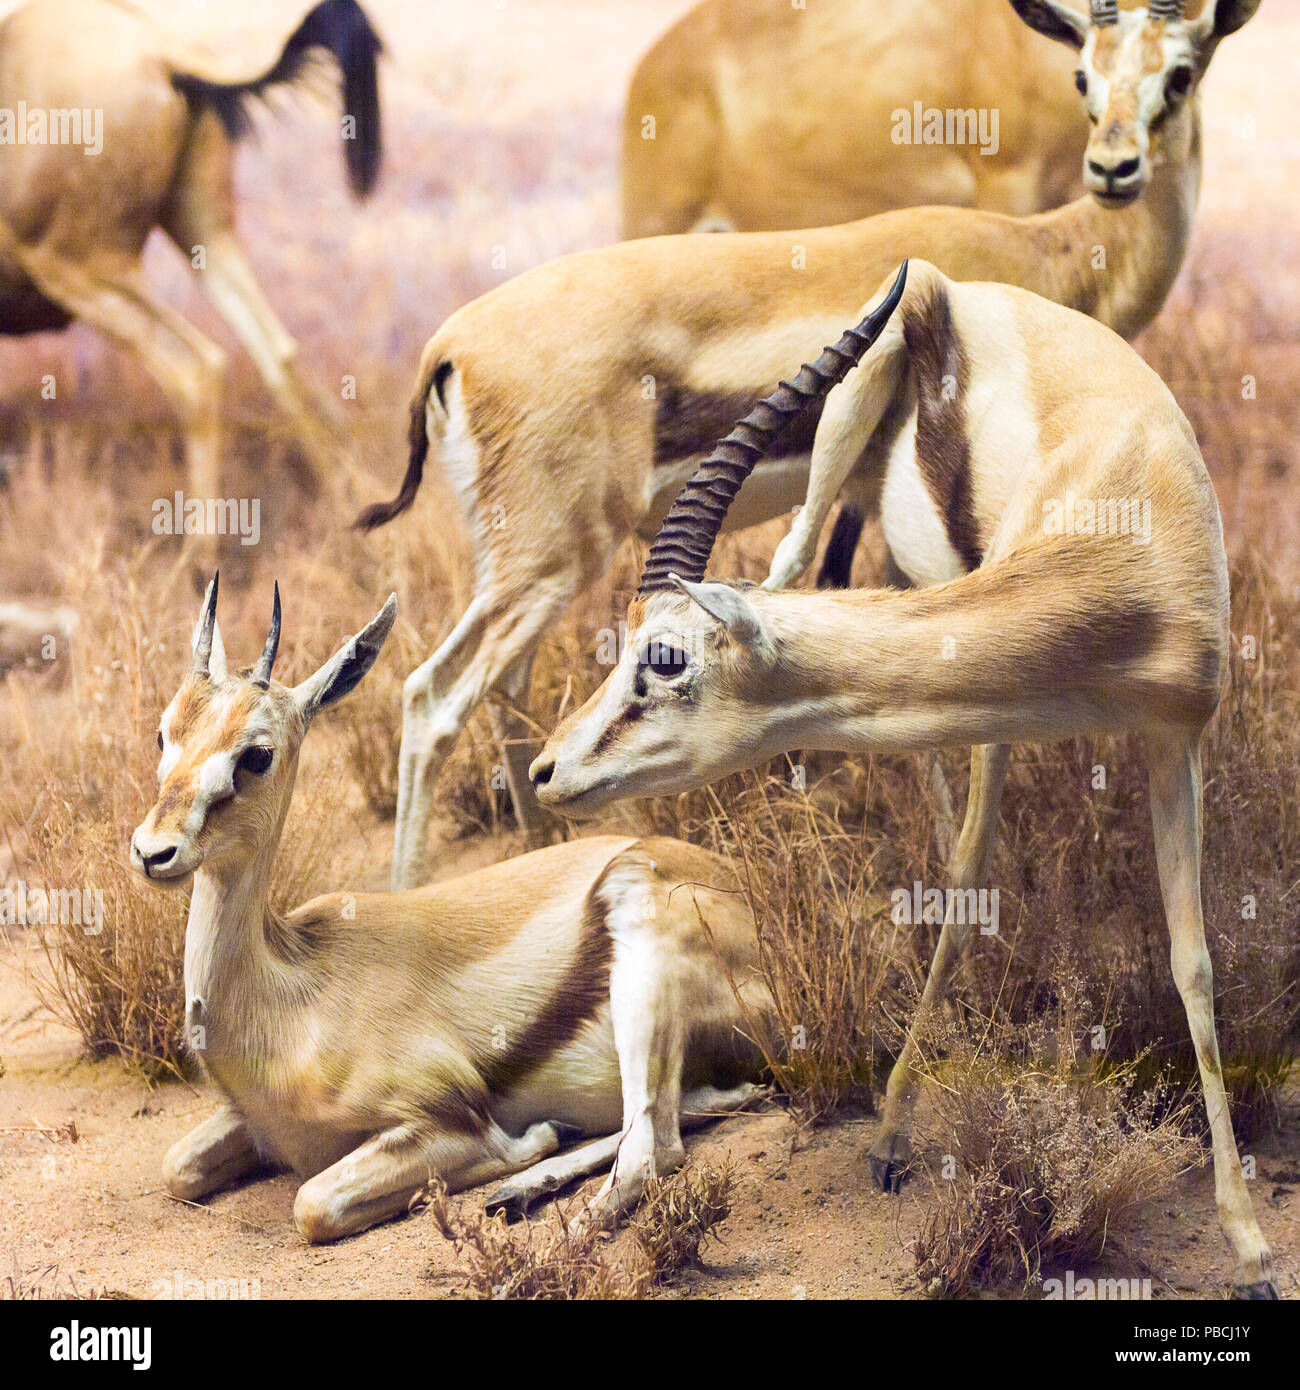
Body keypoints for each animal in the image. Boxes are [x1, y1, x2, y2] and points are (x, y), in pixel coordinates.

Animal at [0, 0, 383, 528]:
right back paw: (352, 511)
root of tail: (166, 57)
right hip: (206, 240)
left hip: (78, 268)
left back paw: (197, 546)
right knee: (278, 354)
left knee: (196, 369)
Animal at [129, 578, 770, 1241]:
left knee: (653, 1149)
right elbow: (177, 1167)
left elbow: (312, 1204)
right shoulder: (251, 1128)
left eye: (257, 754)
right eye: (163, 732)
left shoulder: (443, 1121)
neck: (288, 991)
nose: (153, 852)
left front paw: (529, 1141)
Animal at [527, 260, 1278, 1298]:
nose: (545, 769)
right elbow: (964, 877)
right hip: (845, 452)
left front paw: (1249, 1247)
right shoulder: (1003, 705)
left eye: (666, 658)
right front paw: (888, 1138)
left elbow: (1193, 965)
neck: (1125, 538)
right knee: (796, 567)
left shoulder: (1174, 737)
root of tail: (955, 291)